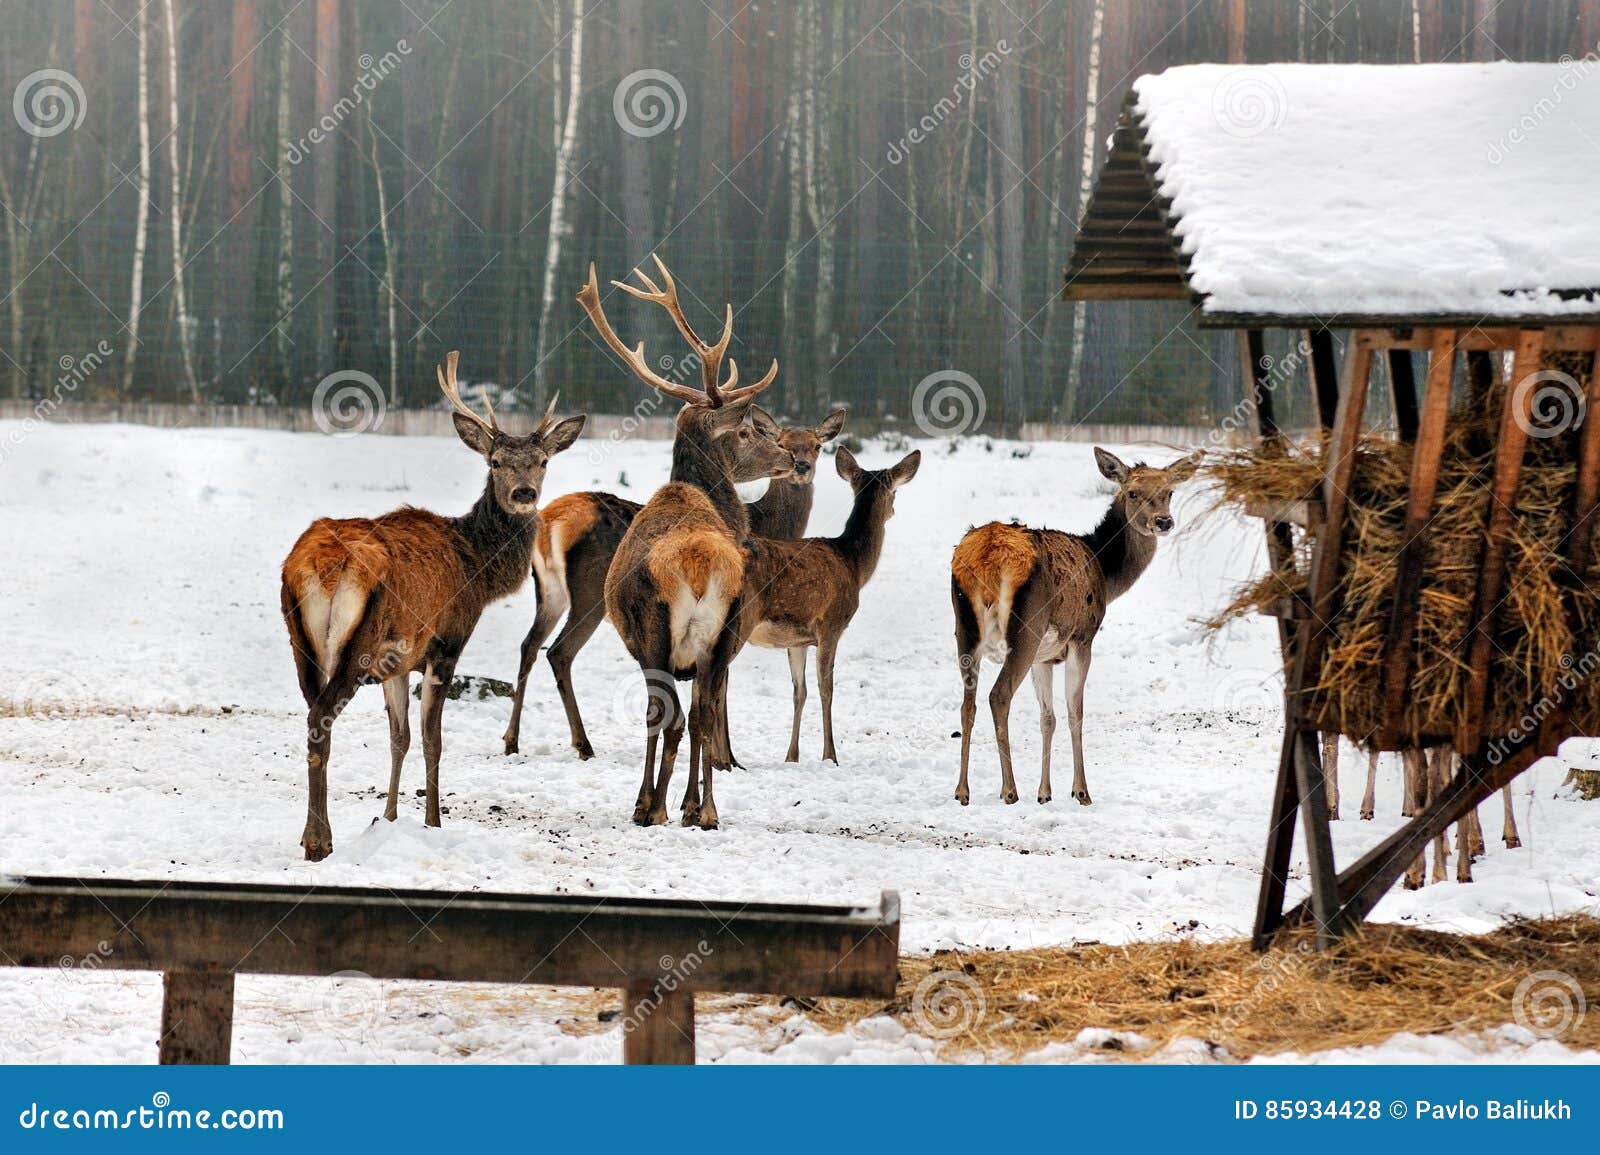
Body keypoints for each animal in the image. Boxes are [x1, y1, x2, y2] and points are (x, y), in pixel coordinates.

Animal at [280, 353, 585, 861]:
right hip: (356, 644)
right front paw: (433, 822)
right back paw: (320, 842)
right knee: (320, 718)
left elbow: (398, 738)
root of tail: (319, 564)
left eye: (542, 461)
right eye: (495, 461)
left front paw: (387, 818)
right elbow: (431, 740)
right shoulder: (446, 643)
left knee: (312, 719)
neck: (476, 569)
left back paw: (309, 834)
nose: (524, 494)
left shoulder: (398, 662)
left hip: (302, 643)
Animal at [500, 405, 846, 759]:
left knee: (530, 645)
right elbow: (722, 685)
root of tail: (549, 523)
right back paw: (584, 744)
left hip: (551, 594)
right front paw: (727, 758)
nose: (798, 464)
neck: (767, 525)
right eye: (777, 439)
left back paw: (512, 740)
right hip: (589, 595)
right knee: (559, 652)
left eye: (816, 445)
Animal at [575, 257, 793, 829]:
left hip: (653, 629)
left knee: (669, 716)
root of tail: (698, 567)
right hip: (722, 635)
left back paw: (654, 807)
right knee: (702, 714)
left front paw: (649, 802)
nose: (792, 456)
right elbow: (700, 717)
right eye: (749, 432)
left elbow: (660, 718)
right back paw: (707, 810)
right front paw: (690, 803)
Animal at [725, 446, 921, 769]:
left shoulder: (798, 639)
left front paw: (791, 756)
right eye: (895, 492)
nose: (893, 510)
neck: (853, 564)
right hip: (738, 620)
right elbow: (826, 689)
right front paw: (830, 755)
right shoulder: (831, 624)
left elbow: (799, 691)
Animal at [951, 447, 1198, 808]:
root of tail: (988, 557)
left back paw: (962, 790)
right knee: (999, 695)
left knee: (967, 703)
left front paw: (1045, 793)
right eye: (1132, 493)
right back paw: (1009, 790)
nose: (1163, 522)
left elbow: (1048, 717)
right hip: (1026, 629)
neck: (1105, 573)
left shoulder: (1043, 657)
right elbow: (1074, 712)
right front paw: (1080, 791)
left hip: (965, 627)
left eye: (1170, 491)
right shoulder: (1082, 639)